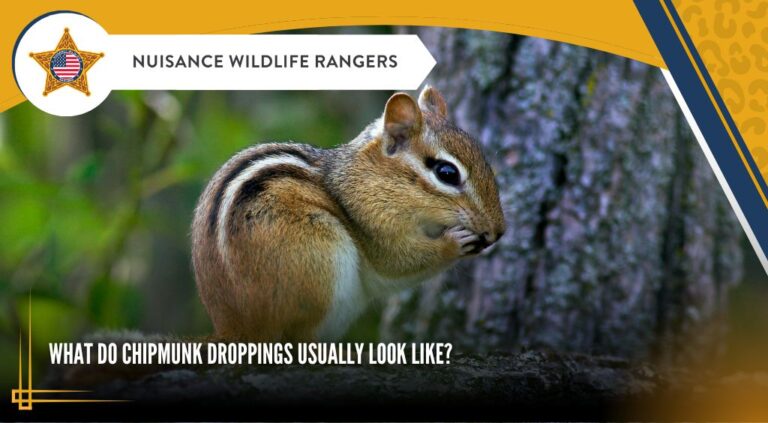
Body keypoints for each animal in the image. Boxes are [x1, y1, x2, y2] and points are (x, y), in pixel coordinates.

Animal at [191, 86, 506, 342]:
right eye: (446, 173)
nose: (498, 231)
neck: (371, 177)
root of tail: (234, 328)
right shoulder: (374, 221)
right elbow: (397, 262)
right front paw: (454, 242)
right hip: (316, 258)